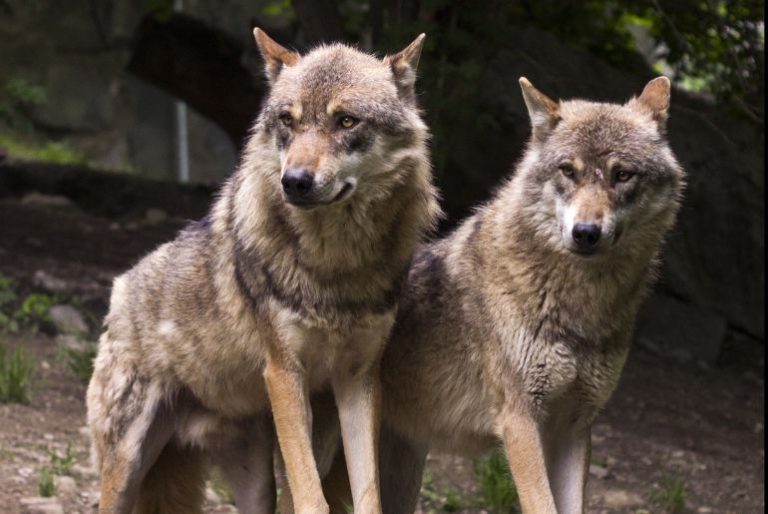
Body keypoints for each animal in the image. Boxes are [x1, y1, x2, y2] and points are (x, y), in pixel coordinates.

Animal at [85, 28, 440, 514]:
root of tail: (121, 287)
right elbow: (312, 498)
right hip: (126, 465)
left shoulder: (359, 379)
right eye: (288, 120)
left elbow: (367, 493)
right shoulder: (284, 373)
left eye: (346, 121)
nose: (295, 181)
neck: (335, 266)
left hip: (256, 481)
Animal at [312, 76, 685, 514]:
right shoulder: (520, 421)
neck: (579, 308)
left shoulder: (575, 428)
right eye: (568, 170)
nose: (585, 233)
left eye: (622, 175)